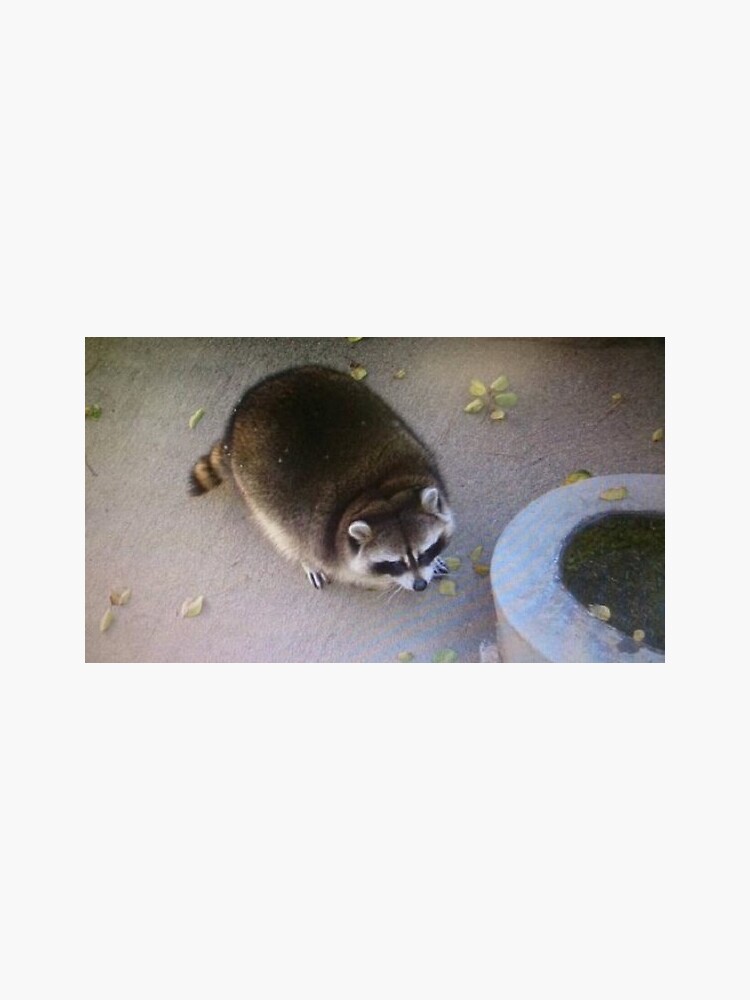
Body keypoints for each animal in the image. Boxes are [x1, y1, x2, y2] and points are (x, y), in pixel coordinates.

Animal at [190, 365, 455, 592]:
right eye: (395, 563)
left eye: (425, 552)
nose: (420, 585)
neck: (380, 490)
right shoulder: (319, 534)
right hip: (255, 486)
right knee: (281, 530)